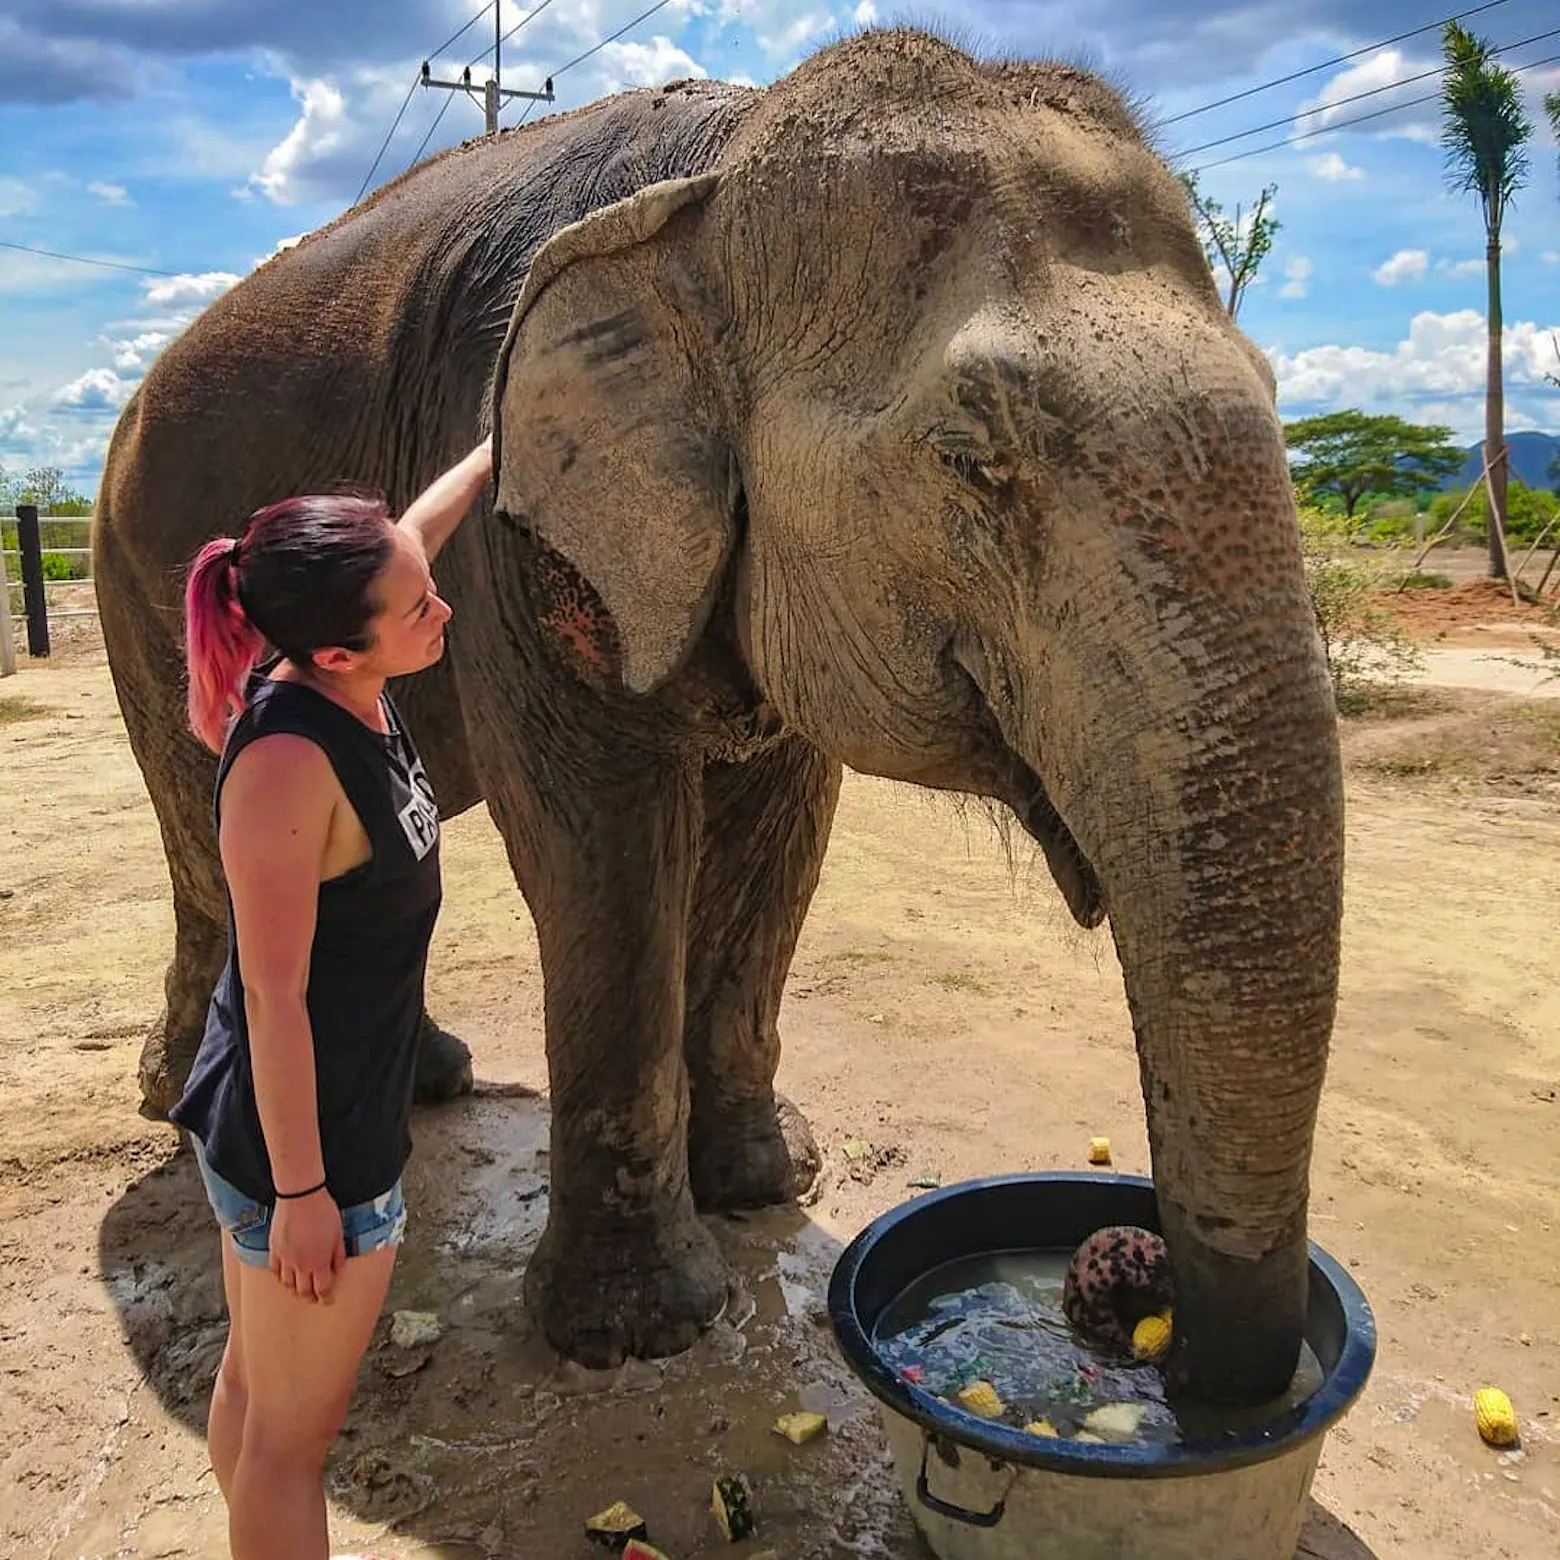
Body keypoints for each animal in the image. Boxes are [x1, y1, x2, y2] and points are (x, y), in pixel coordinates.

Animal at [92, 28, 1344, 1404]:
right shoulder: (515, 542)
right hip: (130, 577)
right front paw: (638, 1333)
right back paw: (192, 1112)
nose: (1153, 1313)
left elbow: (780, 836)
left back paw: (427, 1086)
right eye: (974, 461)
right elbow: (605, 849)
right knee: (209, 836)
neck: (717, 179)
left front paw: (763, 1182)